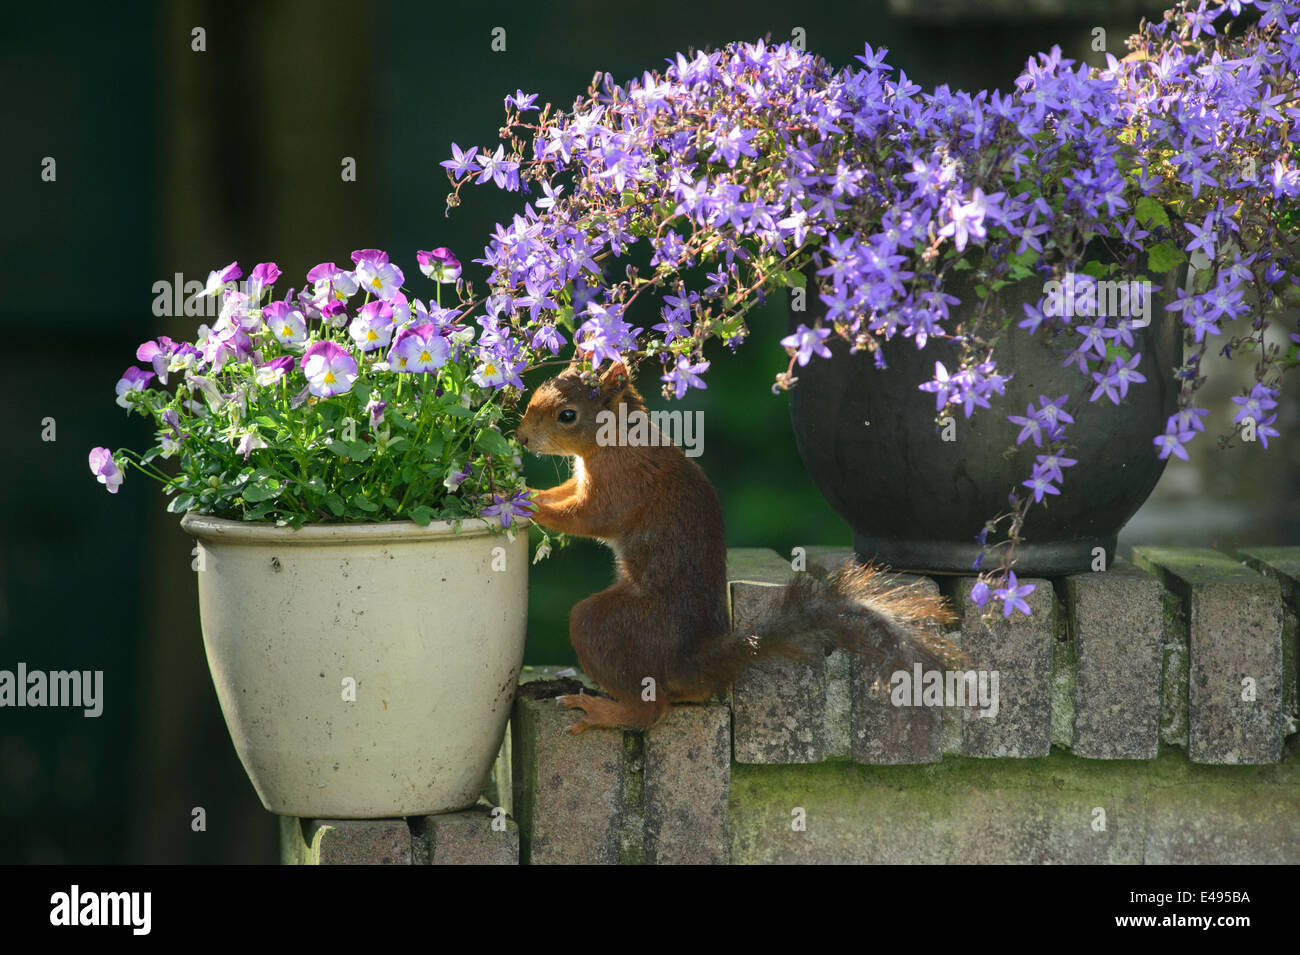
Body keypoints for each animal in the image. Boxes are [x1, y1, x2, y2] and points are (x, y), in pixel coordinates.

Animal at [515, 359, 964, 733]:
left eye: (567, 416)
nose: (519, 438)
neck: (617, 438)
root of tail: (694, 664)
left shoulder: (624, 483)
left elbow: (590, 517)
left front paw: (525, 502)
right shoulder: (584, 478)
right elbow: (567, 494)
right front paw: (527, 489)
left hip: (613, 625)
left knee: (649, 708)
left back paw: (602, 711)